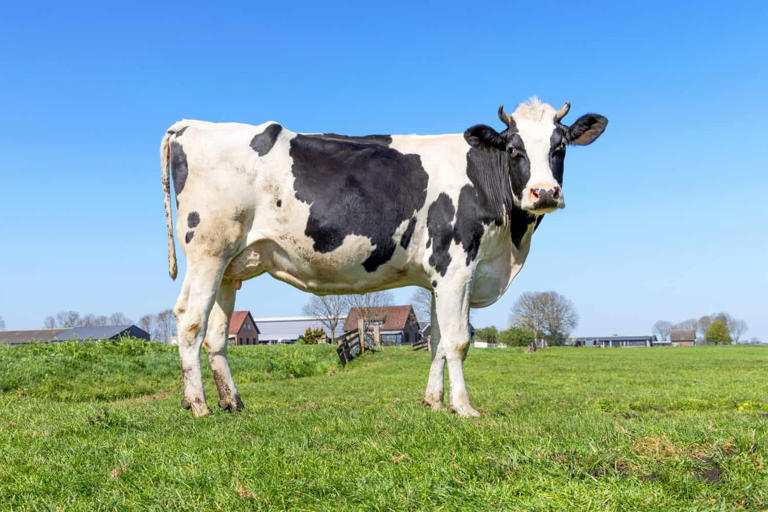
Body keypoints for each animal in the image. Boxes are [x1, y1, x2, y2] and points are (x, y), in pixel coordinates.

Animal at [160, 98, 607, 417]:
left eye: (560, 146)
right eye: (514, 149)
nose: (544, 193)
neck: (509, 247)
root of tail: (189, 124)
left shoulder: (438, 276)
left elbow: (436, 341)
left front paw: (433, 403)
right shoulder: (457, 265)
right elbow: (458, 340)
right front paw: (463, 407)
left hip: (231, 266)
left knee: (217, 334)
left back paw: (232, 403)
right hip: (208, 252)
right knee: (190, 320)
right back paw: (198, 405)